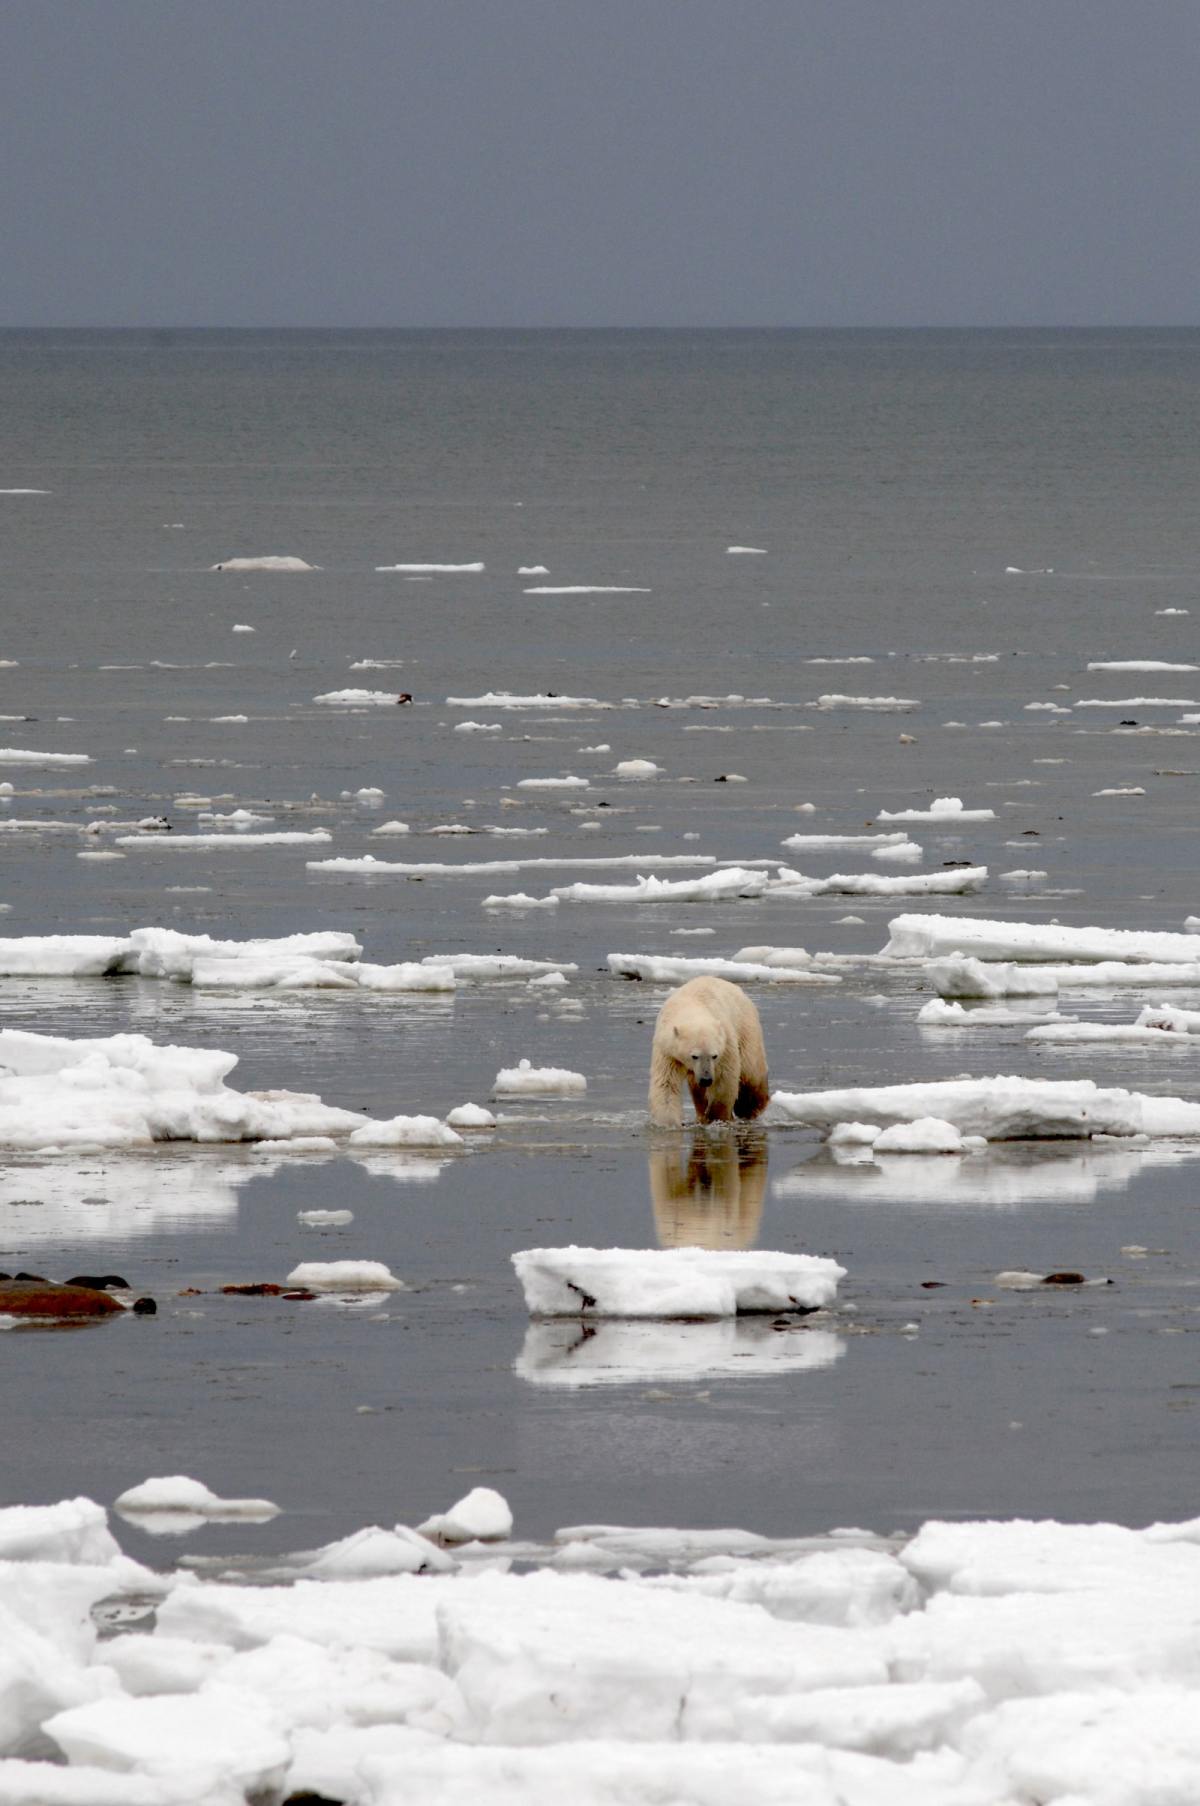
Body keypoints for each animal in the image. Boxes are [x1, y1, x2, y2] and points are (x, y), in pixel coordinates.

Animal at [648, 975, 770, 1128]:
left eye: (714, 1056)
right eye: (694, 1056)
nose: (706, 1080)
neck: (693, 1007)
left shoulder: (725, 1043)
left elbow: (723, 1079)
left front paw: (716, 1117)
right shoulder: (668, 1050)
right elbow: (666, 1083)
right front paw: (669, 1122)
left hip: (745, 1027)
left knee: (751, 1071)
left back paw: (749, 1108)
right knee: (697, 1090)